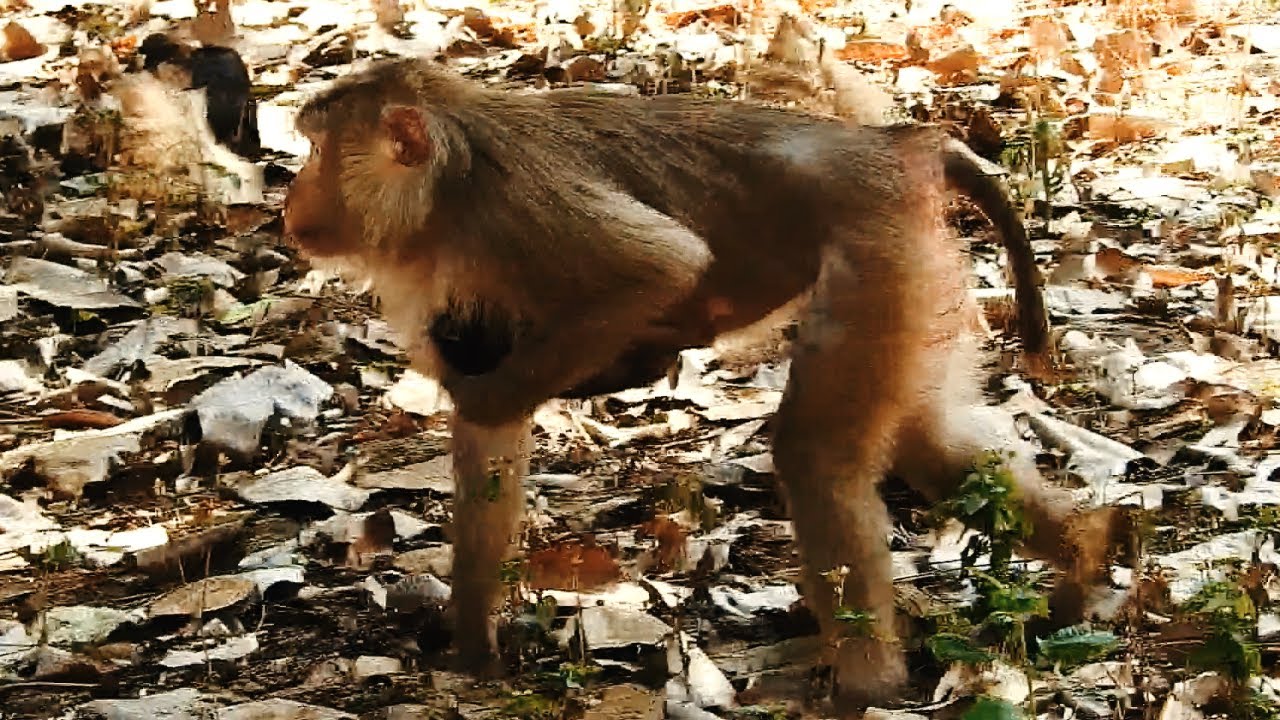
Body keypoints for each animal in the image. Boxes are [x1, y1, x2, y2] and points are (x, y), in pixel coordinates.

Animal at [283, 58, 1116, 716]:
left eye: (318, 150)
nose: (289, 202)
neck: (447, 182)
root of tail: (895, 146)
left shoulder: (519, 212)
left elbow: (659, 265)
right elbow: (490, 443)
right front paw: (473, 649)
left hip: (876, 252)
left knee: (816, 454)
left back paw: (866, 686)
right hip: (921, 264)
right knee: (926, 439)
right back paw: (1087, 553)